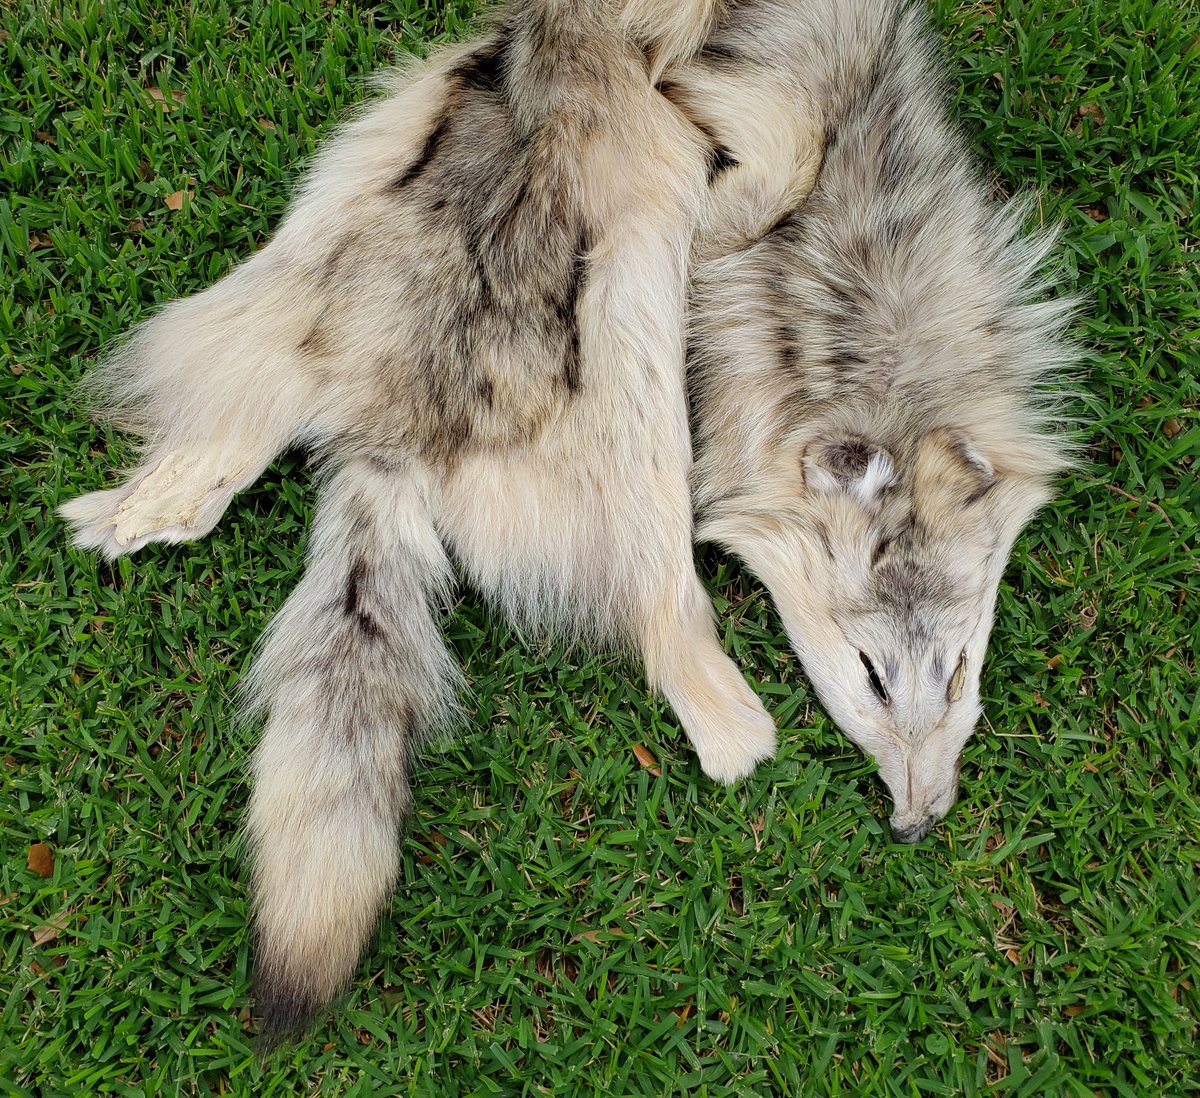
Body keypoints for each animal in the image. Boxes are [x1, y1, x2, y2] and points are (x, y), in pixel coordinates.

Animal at [59, 0, 778, 1039]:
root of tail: (393, 431)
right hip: (643, 459)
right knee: (666, 623)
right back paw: (738, 736)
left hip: (266, 314)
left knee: (215, 453)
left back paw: (129, 516)